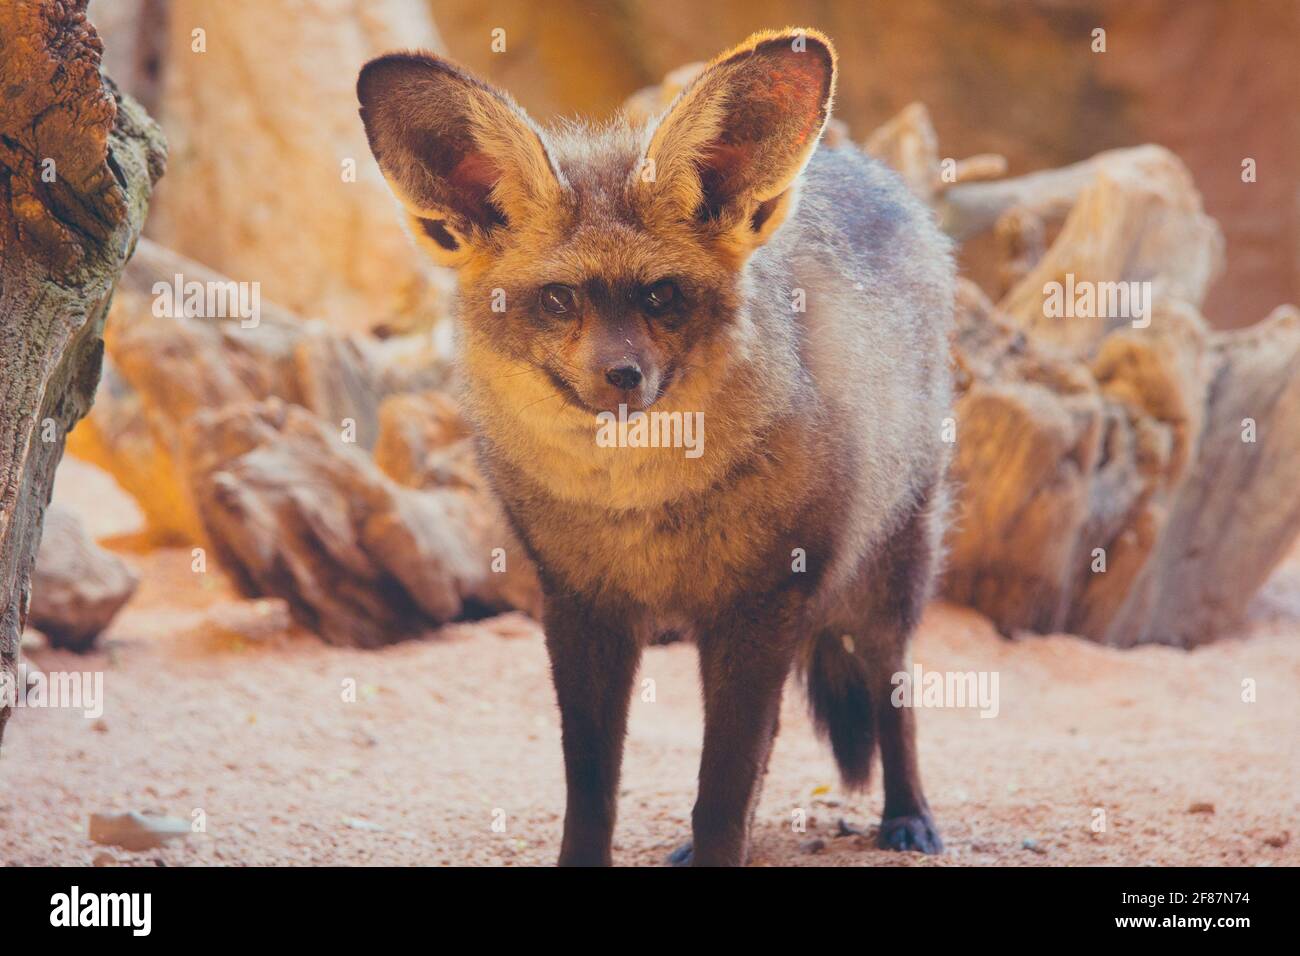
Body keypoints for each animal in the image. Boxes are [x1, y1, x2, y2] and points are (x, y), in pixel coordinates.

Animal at [358, 27, 954, 866]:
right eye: (558, 299)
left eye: (661, 296)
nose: (622, 376)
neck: (637, 507)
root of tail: (861, 165)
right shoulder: (581, 606)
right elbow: (594, 789)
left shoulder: (758, 606)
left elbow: (722, 792)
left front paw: (721, 847)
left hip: (890, 574)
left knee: (891, 696)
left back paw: (909, 816)